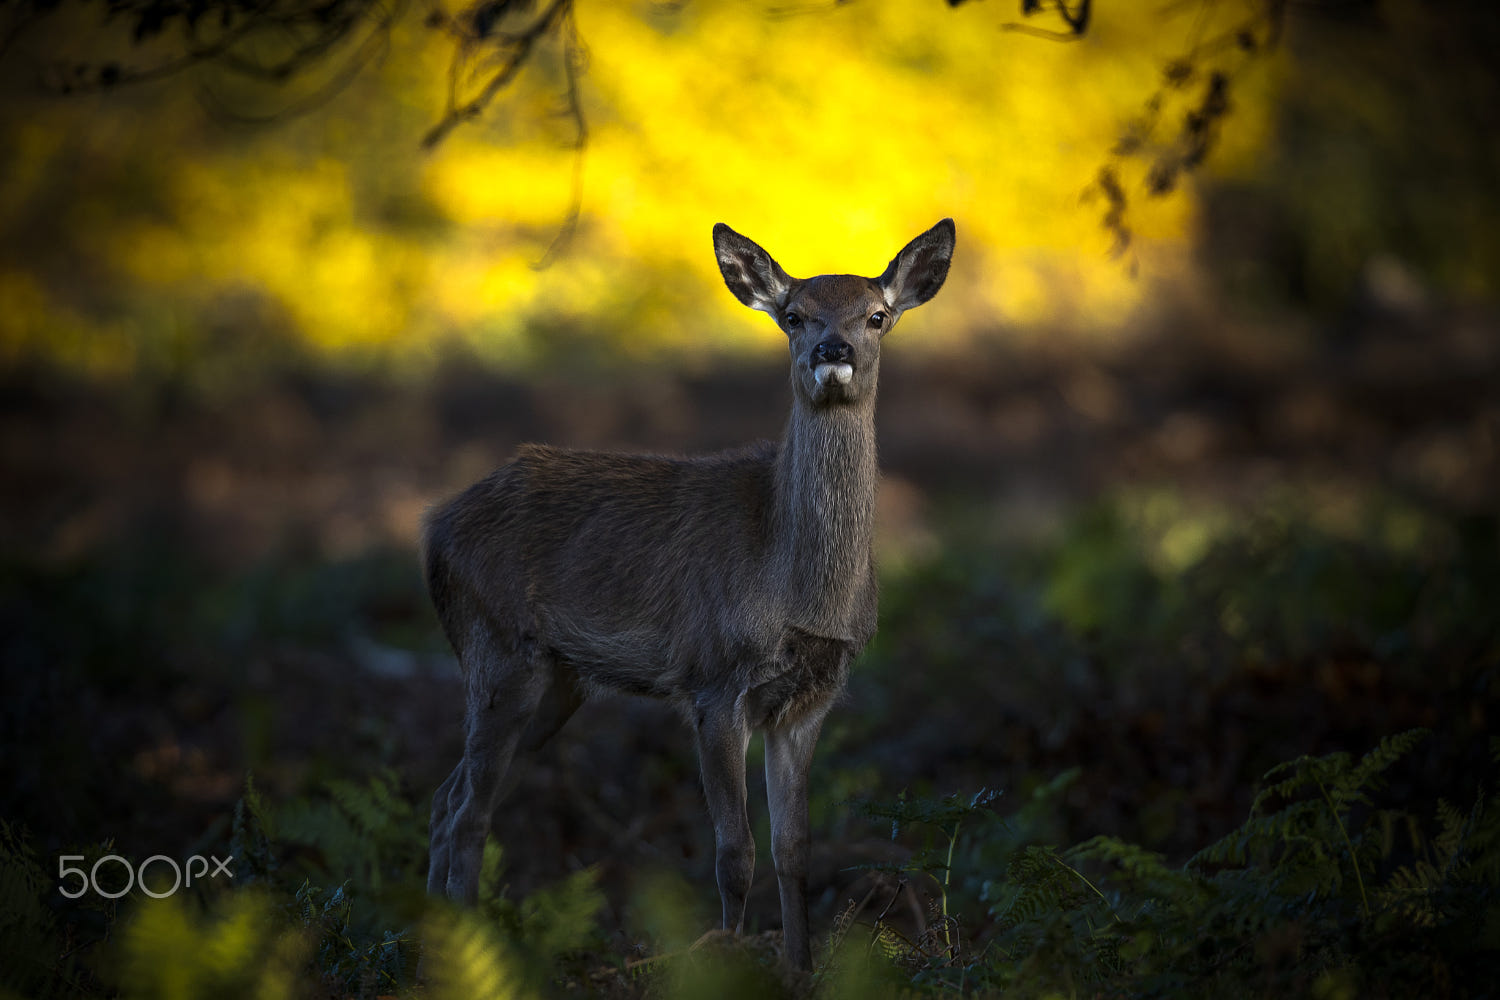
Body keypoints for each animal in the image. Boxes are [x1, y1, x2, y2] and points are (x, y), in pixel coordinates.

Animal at [422, 218, 955, 970]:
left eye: (877, 315)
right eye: (794, 315)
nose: (834, 350)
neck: (794, 588)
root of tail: (434, 529)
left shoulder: (810, 701)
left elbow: (795, 849)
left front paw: (801, 967)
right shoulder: (713, 681)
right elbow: (734, 852)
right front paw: (727, 957)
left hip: (557, 682)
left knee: (449, 800)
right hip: (497, 650)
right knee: (468, 812)